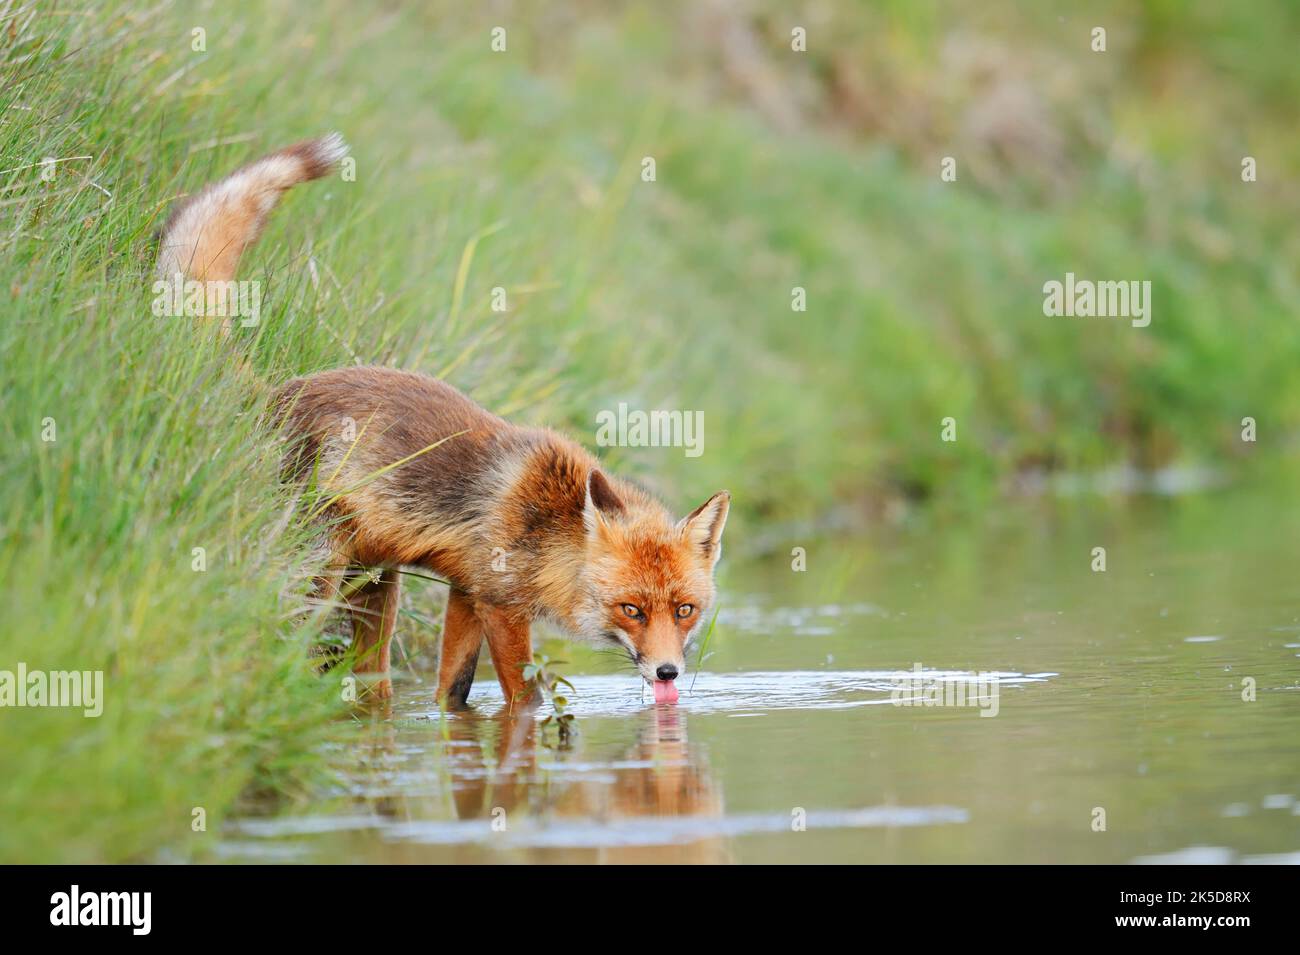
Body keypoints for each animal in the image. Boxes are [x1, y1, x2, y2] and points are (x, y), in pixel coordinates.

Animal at [156, 134, 730, 708]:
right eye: (631, 610)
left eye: (685, 610)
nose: (668, 672)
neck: (551, 532)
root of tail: (275, 393)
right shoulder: (500, 605)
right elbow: (525, 699)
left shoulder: (465, 591)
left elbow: (452, 691)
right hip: (320, 569)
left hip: (376, 583)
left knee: (373, 682)